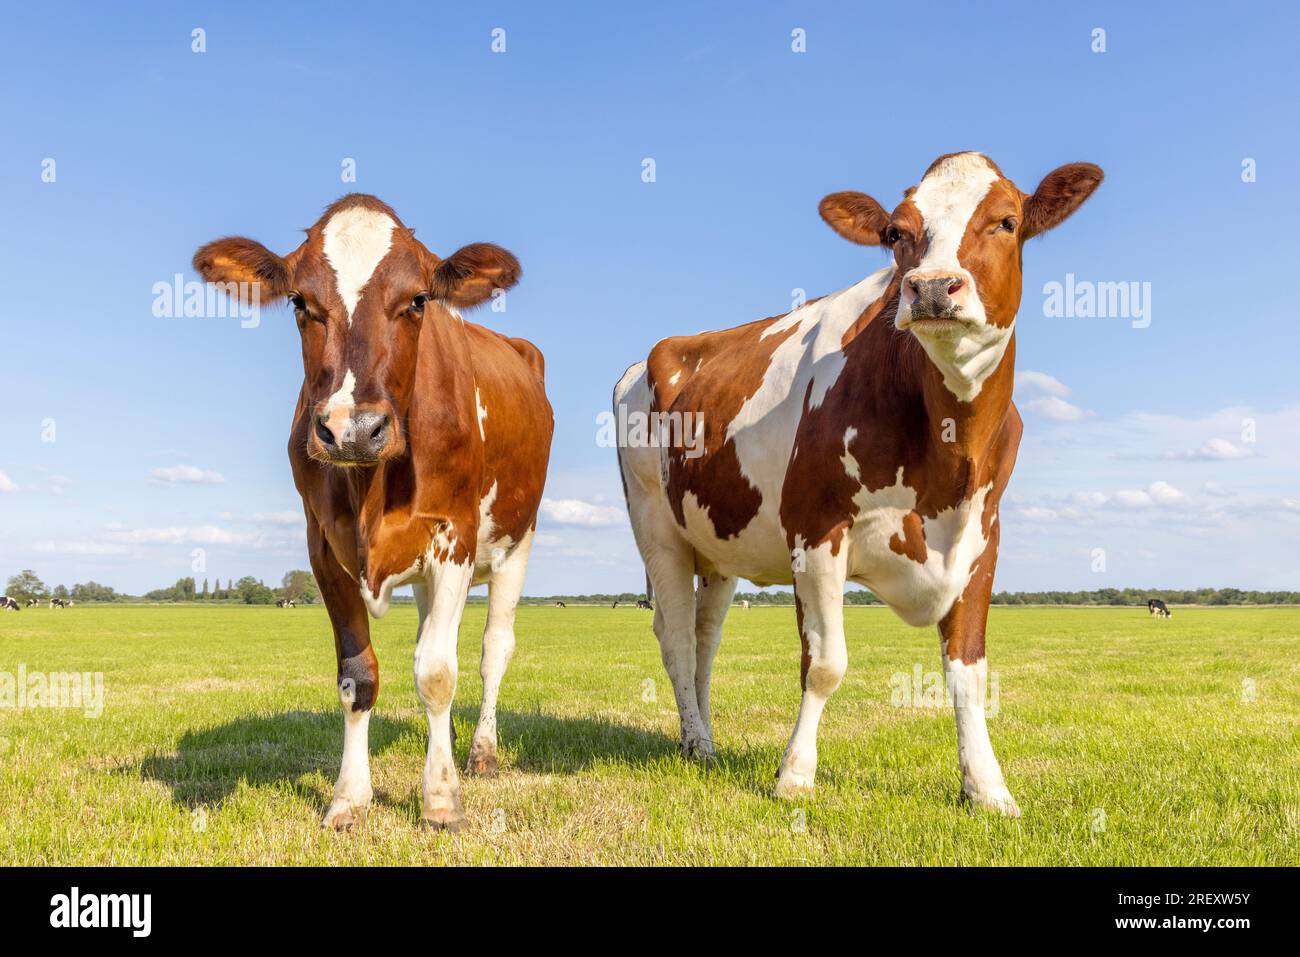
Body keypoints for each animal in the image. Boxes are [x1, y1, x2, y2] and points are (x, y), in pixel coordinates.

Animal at [194, 194, 554, 831]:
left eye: (418, 300)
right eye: (300, 302)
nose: (353, 430)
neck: (372, 488)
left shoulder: (455, 536)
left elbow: (437, 671)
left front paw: (441, 799)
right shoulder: (321, 547)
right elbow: (357, 677)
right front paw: (348, 798)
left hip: (518, 540)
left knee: (492, 650)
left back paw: (481, 753)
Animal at [615, 152, 1102, 815]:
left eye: (1006, 221)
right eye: (896, 232)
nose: (931, 286)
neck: (948, 448)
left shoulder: (982, 539)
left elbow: (969, 671)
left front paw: (987, 787)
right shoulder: (816, 531)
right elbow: (824, 664)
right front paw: (794, 777)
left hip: (718, 543)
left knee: (704, 638)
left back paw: (703, 740)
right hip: (655, 526)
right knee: (675, 640)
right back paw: (698, 743)